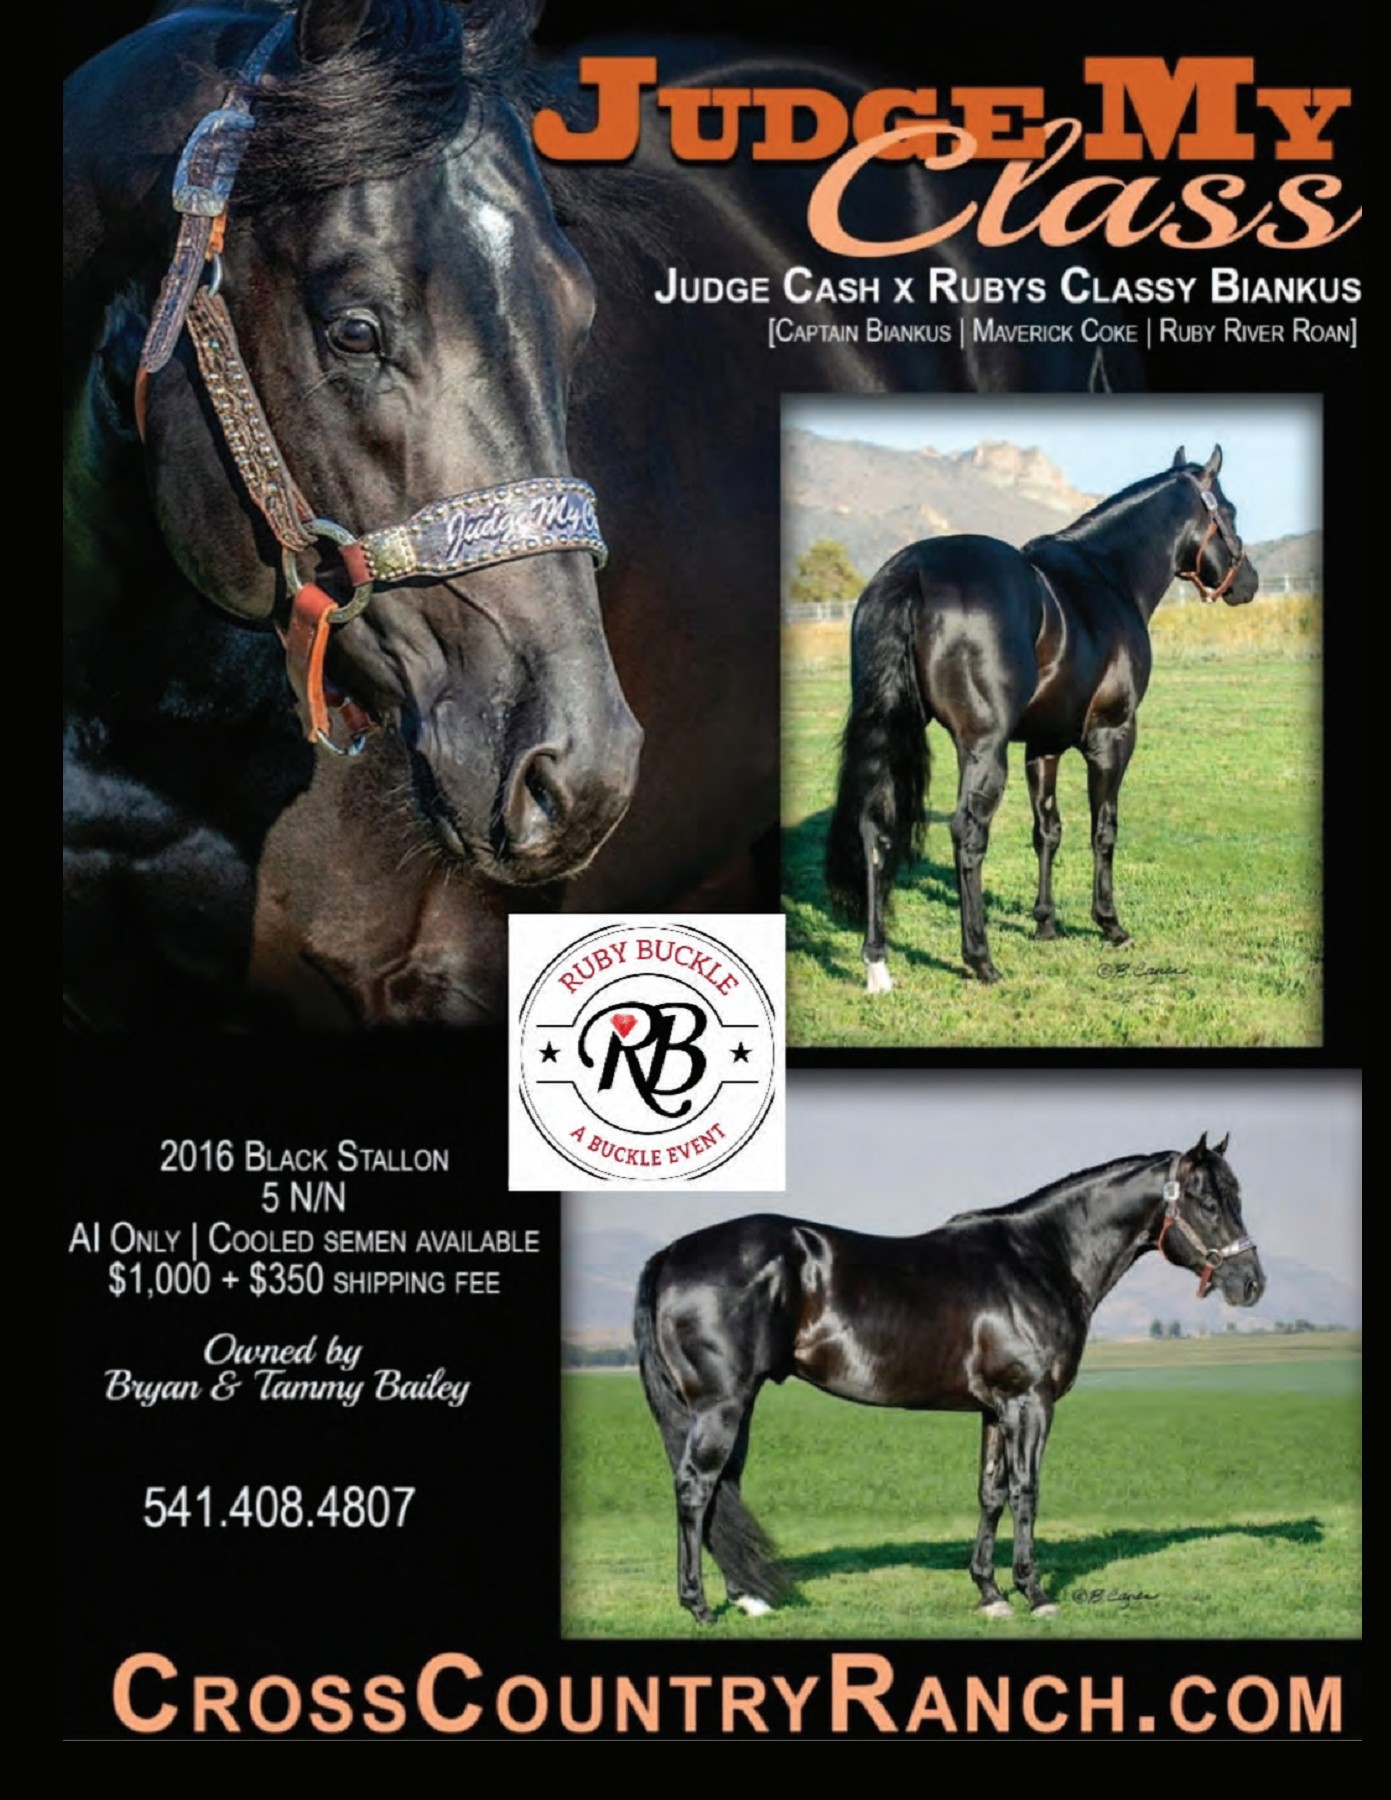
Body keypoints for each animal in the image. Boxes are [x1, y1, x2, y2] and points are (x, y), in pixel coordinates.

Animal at [635, 1133, 1264, 1624]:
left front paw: (990, 1593)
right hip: (721, 1404)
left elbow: (990, 1492)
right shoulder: (1030, 1403)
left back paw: (749, 1599)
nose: (1250, 1283)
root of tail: (672, 1254)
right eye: (1208, 1201)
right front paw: (1034, 1592)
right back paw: (700, 1605)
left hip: (733, 1405)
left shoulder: (994, 1409)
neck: (1039, 1258)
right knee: (696, 1487)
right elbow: (1026, 1490)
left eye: (1235, 1196)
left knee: (722, 1490)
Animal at [824, 447, 1259, 991]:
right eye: (1231, 511)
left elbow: (1047, 830)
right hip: (983, 747)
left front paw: (1045, 922)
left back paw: (877, 963)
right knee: (968, 833)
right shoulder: (1112, 735)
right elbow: (1103, 828)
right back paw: (980, 958)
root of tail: (911, 573)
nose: (1249, 584)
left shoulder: (1043, 744)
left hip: (890, 728)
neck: (1109, 575)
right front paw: (1110, 924)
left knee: (875, 828)